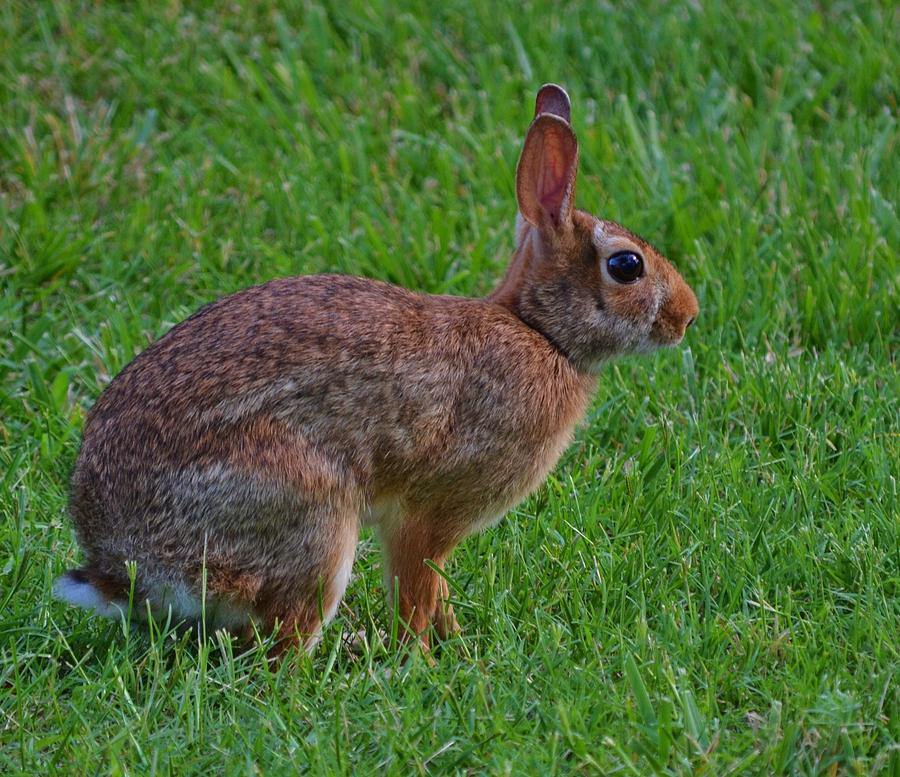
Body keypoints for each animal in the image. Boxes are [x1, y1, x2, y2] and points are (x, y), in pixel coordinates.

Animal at [55, 84, 699, 653]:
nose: (689, 316)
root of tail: (126, 567)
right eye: (626, 266)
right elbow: (419, 586)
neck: (541, 333)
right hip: (311, 517)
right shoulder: (427, 513)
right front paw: (430, 658)